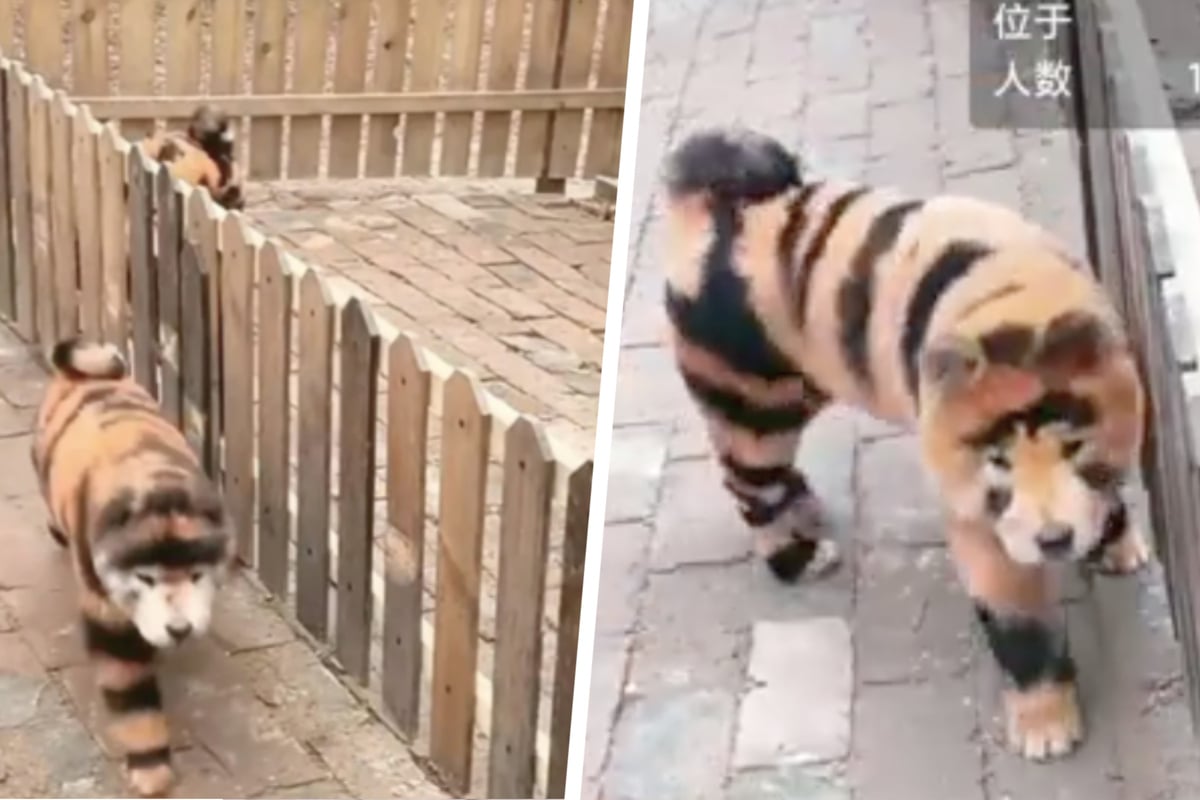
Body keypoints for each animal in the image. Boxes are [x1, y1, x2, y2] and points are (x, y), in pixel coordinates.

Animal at [31, 339, 236, 797]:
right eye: (145, 577)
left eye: (197, 574)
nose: (179, 630)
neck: (154, 482)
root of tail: (86, 374)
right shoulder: (106, 609)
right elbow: (132, 697)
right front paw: (151, 769)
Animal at [661, 128, 1148, 763]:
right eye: (998, 461)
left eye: (1073, 448)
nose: (1053, 541)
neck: (1014, 308)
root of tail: (710, 210)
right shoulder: (976, 517)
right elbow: (1019, 621)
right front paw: (1046, 731)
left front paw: (1119, 548)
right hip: (748, 403)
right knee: (748, 484)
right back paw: (803, 557)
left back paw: (809, 512)